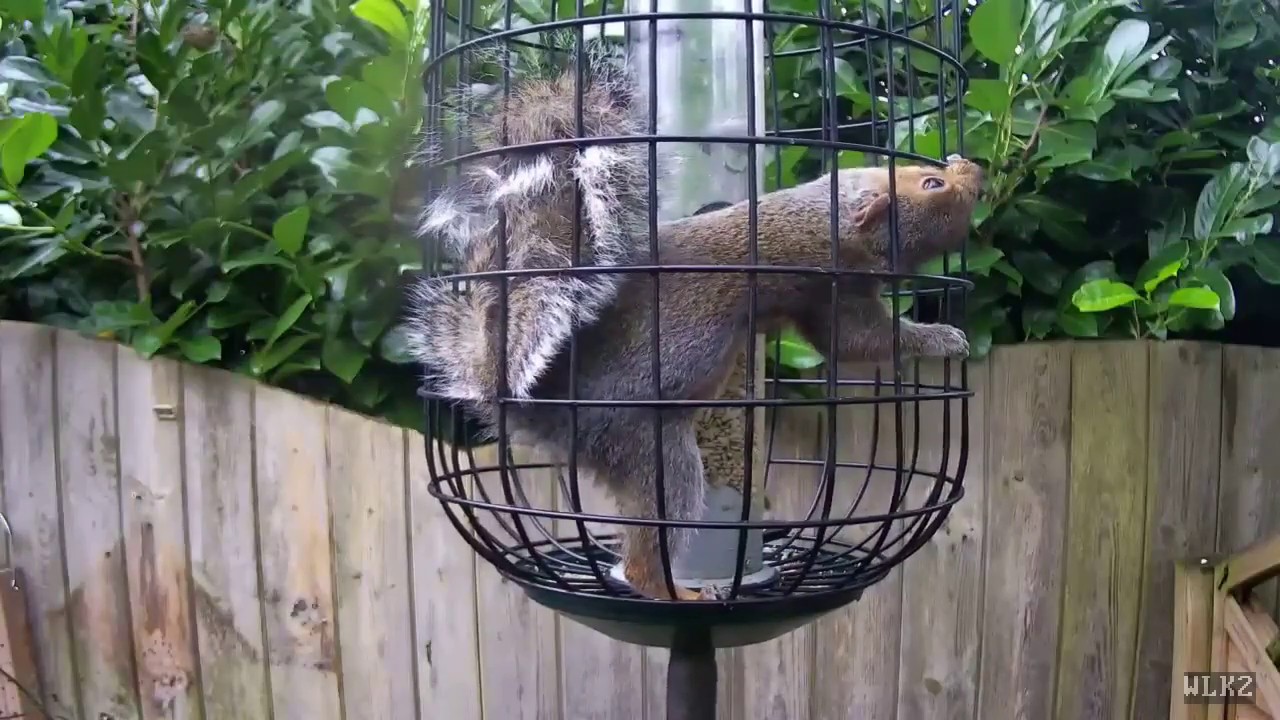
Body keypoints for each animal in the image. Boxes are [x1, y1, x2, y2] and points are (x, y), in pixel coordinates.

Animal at [404, 38, 984, 601]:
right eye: (932, 186)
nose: (973, 170)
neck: (832, 224)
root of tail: (547, 411)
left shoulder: (823, 297)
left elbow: (845, 342)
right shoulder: (828, 282)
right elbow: (863, 340)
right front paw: (944, 338)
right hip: (652, 449)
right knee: (647, 548)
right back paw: (675, 592)